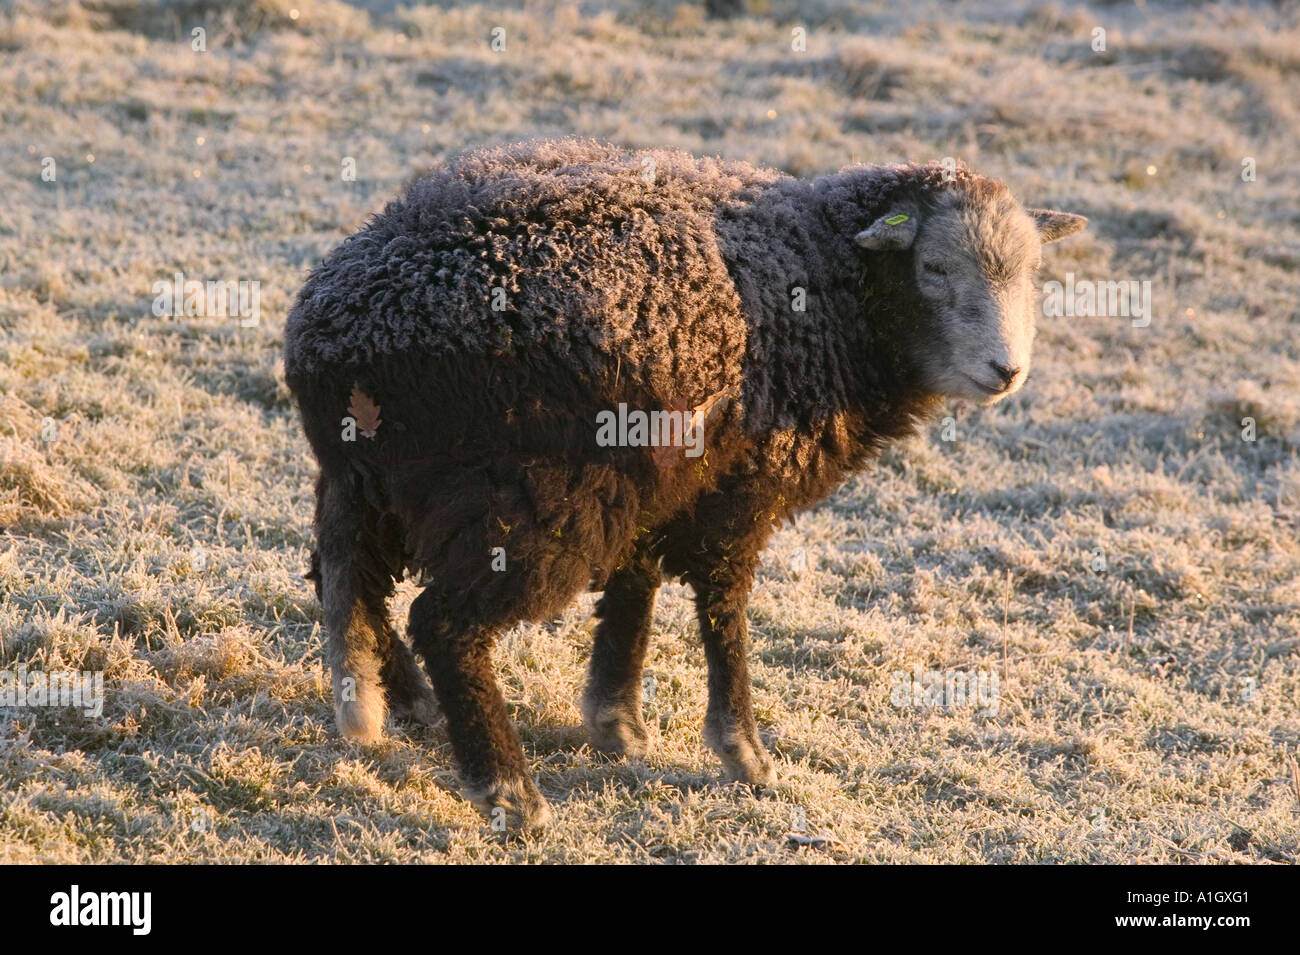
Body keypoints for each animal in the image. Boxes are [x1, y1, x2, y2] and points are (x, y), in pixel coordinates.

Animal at [284, 139, 1086, 829]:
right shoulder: (738, 488)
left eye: (1031, 276)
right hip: (527, 500)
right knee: (445, 623)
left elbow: (635, 587)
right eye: (936, 269)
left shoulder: (659, 484)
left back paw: (406, 702)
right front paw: (744, 752)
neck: (826, 282)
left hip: (378, 486)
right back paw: (508, 790)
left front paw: (616, 720)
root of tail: (342, 339)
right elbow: (723, 608)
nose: (1007, 370)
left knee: (343, 579)